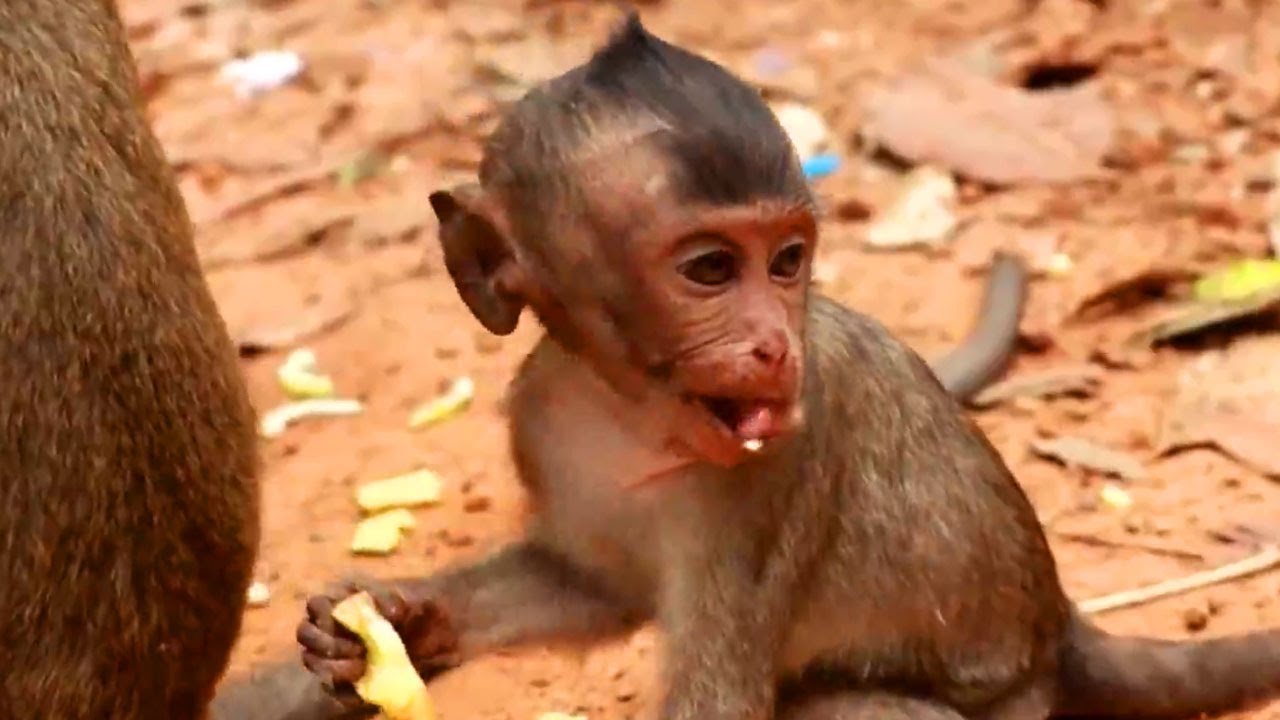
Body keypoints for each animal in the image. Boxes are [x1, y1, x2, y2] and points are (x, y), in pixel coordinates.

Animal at [297, 13, 1280, 720]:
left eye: (788, 260)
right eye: (709, 270)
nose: (776, 343)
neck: (626, 409)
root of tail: (1055, 626)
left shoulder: (772, 479)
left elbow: (717, 701)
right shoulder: (540, 413)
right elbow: (592, 588)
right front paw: (399, 624)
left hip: (1011, 703)